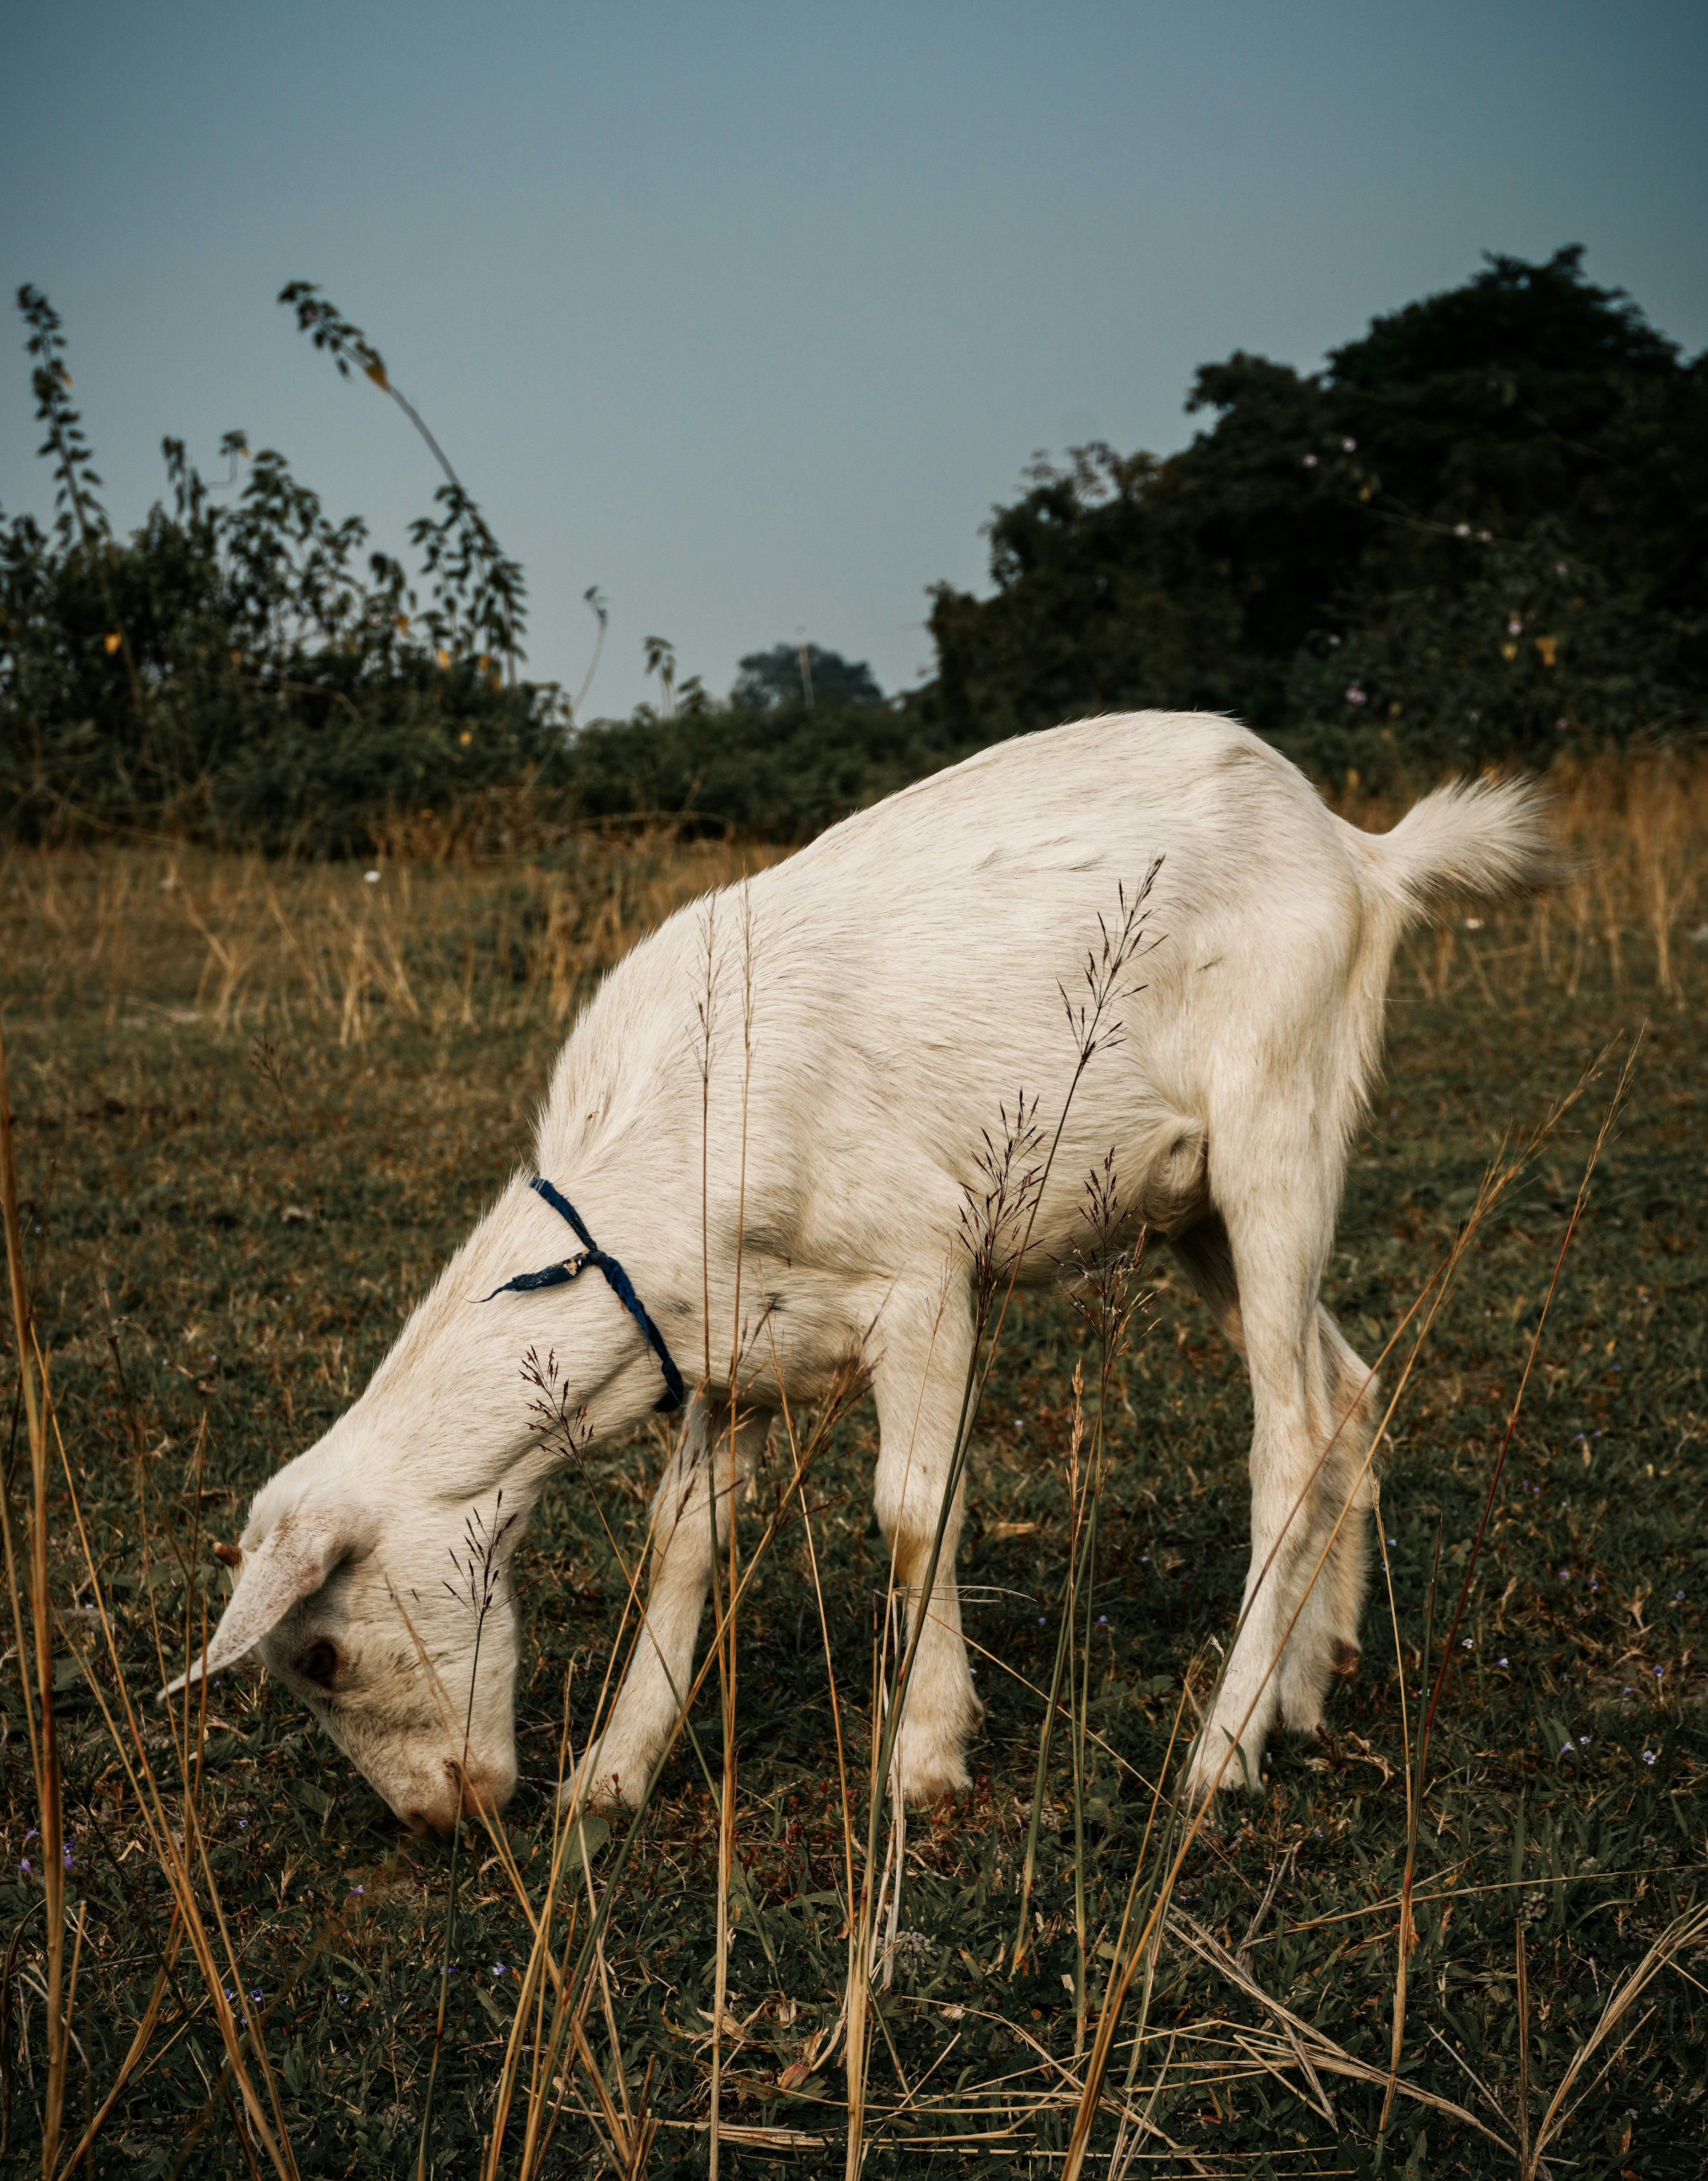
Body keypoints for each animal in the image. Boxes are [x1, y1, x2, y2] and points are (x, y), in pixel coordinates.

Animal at [168, 711, 1552, 1831]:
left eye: (322, 1657)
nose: (439, 1817)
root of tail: (1359, 850)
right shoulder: (721, 1348)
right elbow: (681, 1540)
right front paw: (614, 1774)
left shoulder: (923, 1279)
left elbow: (910, 1508)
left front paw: (926, 1757)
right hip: (1195, 1206)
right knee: (1346, 1393)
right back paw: (1308, 1690)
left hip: (1280, 1125)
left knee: (1285, 1430)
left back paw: (1222, 1751)